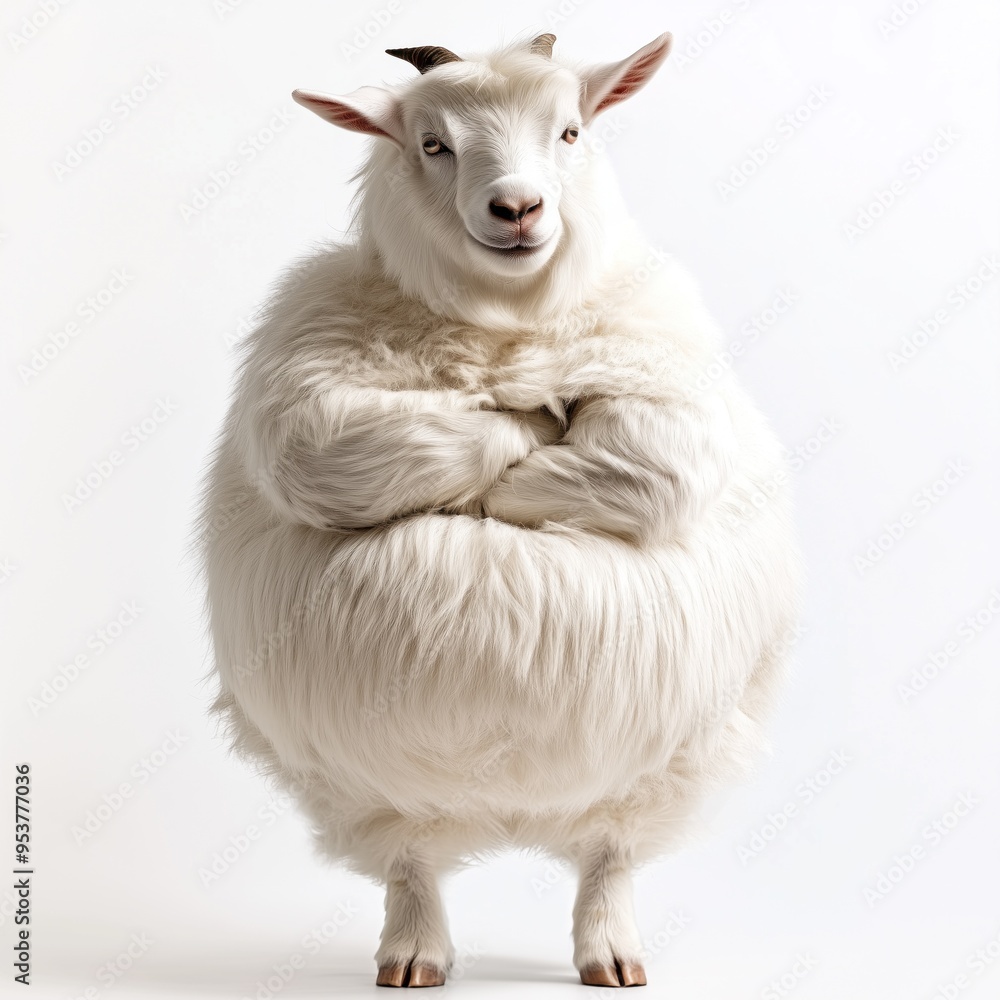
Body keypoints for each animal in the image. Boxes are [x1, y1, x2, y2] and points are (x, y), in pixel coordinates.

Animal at [199, 31, 801, 989]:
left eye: (569, 130)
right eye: (432, 144)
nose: (516, 208)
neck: (505, 321)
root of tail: (512, 810)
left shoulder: (668, 385)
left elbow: (656, 455)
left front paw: (533, 427)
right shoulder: (308, 394)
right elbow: (334, 450)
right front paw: (518, 423)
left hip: (665, 761)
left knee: (610, 851)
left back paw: (609, 950)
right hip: (360, 781)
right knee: (408, 857)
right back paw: (414, 951)